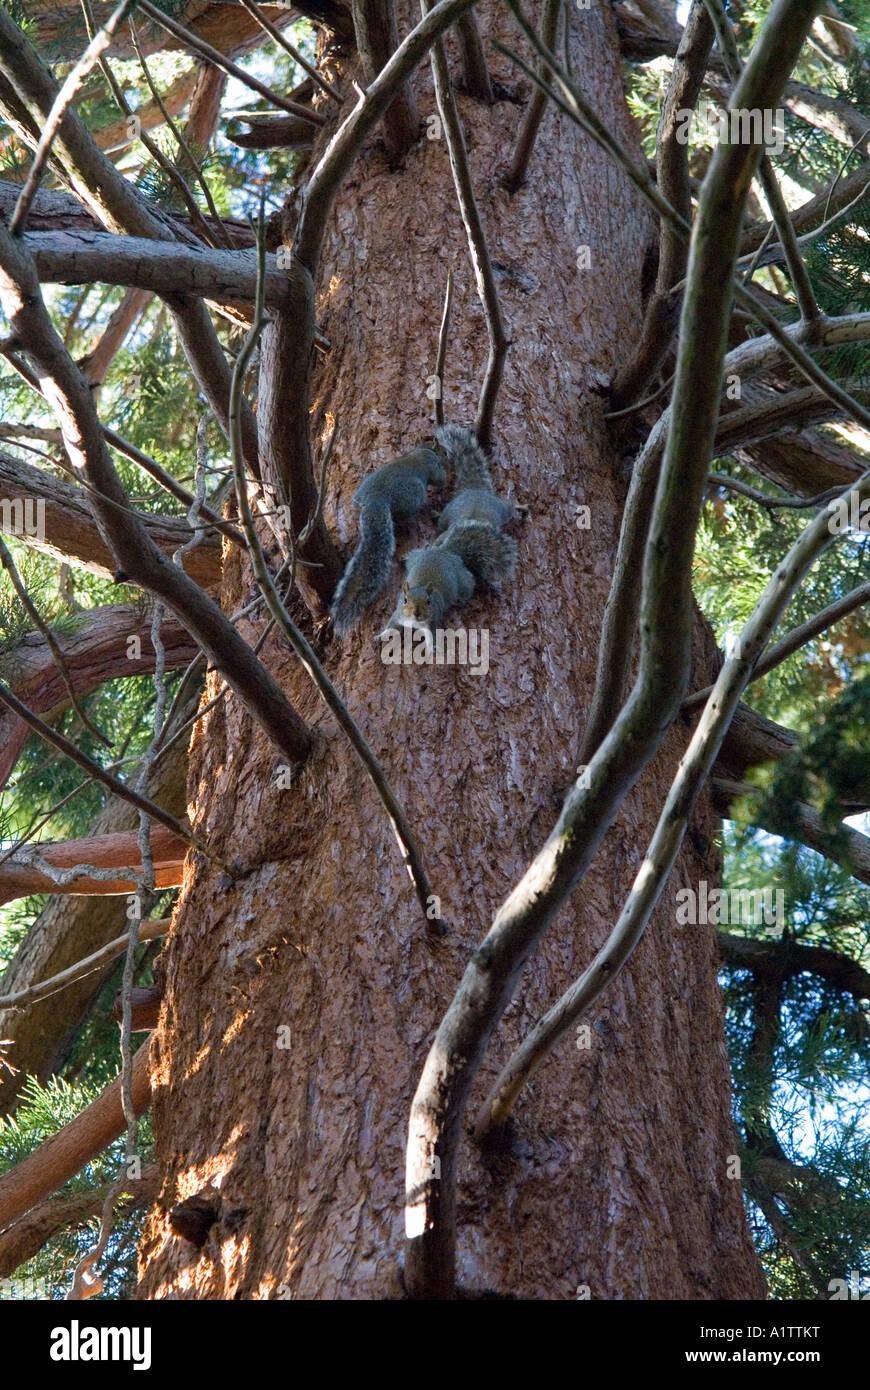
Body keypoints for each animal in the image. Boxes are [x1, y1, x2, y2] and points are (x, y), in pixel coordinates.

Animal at [330, 445, 446, 637]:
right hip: (412, 495)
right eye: (437, 460)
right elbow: (438, 478)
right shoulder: (432, 468)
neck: (418, 455)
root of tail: (375, 501)